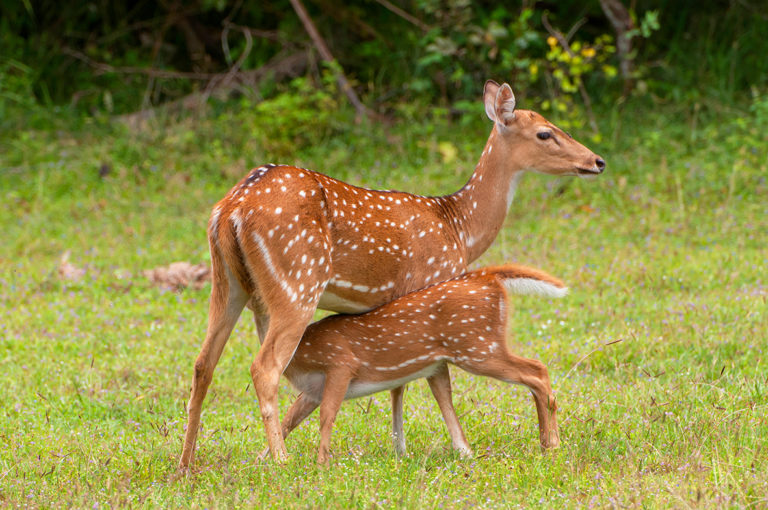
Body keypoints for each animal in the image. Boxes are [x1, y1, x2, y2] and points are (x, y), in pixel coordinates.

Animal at [264, 264, 565, 464]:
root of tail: (488, 276)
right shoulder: (313, 389)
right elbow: (289, 420)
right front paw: (265, 460)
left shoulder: (341, 363)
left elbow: (327, 416)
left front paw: (321, 465)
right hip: (474, 348)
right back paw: (541, 444)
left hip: (477, 346)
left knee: (537, 370)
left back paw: (552, 445)